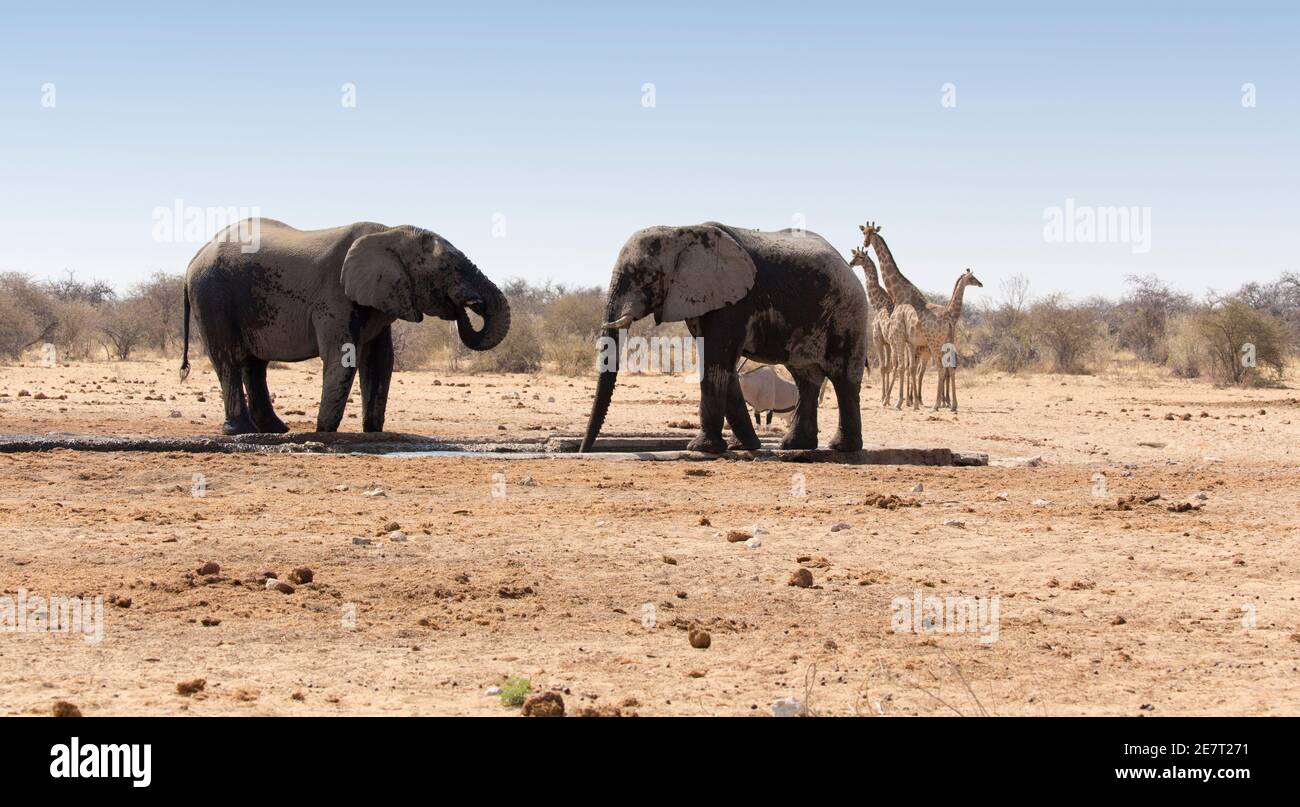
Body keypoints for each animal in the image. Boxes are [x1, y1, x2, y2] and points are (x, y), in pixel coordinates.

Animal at [180, 219, 510, 435]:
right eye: (446, 268)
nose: (470, 304)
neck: (388, 233)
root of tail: (195, 257)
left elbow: (380, 361)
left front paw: (373, 432)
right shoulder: (335, 297)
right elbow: (343, 357)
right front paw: (324, 433)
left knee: (254, 365)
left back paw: (274, 430)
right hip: (212, 295)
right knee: (229, 360)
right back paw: (238, 431)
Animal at [579, 222, 869, 454]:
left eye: (645, 276)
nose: (584, 451)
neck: (680, 231)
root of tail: (846, 263)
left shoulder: (733, 301)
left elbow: (716, 362)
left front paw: (701, 448)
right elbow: (724, 366)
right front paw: (743, 447)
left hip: (848, 312)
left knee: (842, 377)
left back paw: (842, 448)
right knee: (805, 376)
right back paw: (795, 445)